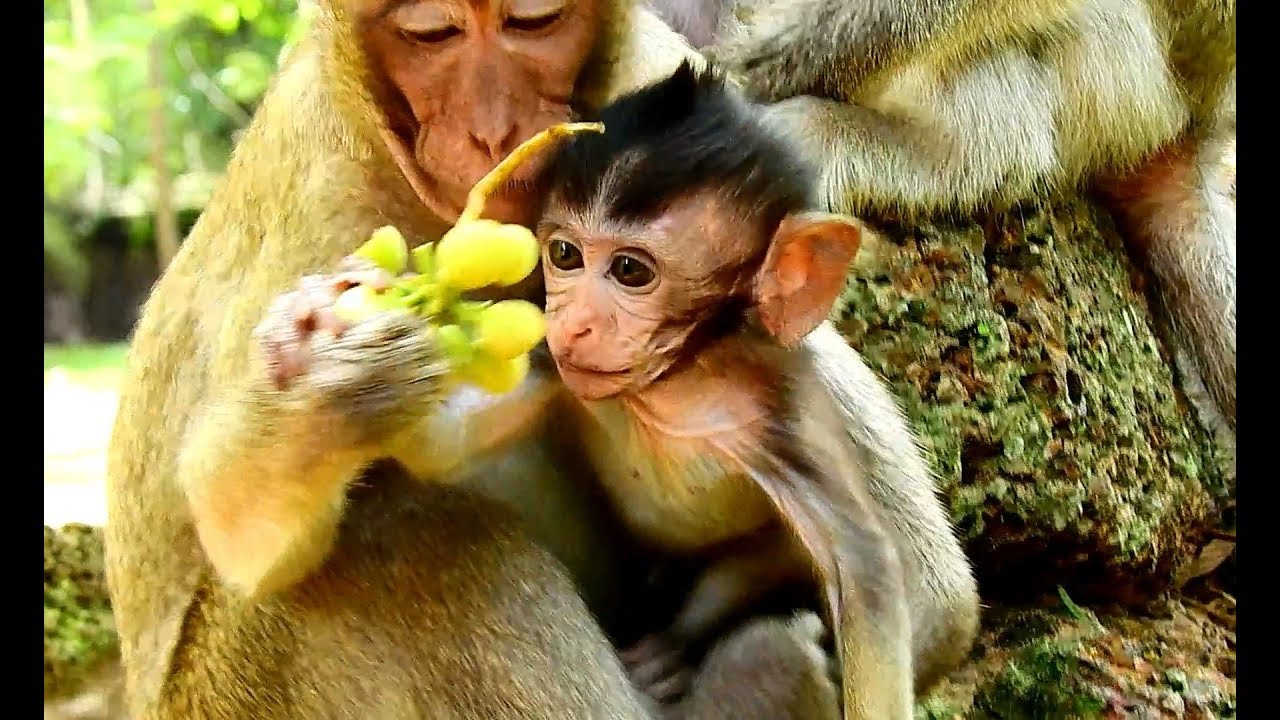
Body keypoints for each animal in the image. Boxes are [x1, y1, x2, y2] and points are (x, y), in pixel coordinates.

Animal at [535, 62, 921, 718]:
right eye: (564, 254)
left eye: (630, 270)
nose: (574, 322)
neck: (674, 385)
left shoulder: (780, 408)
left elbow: (864, 570)